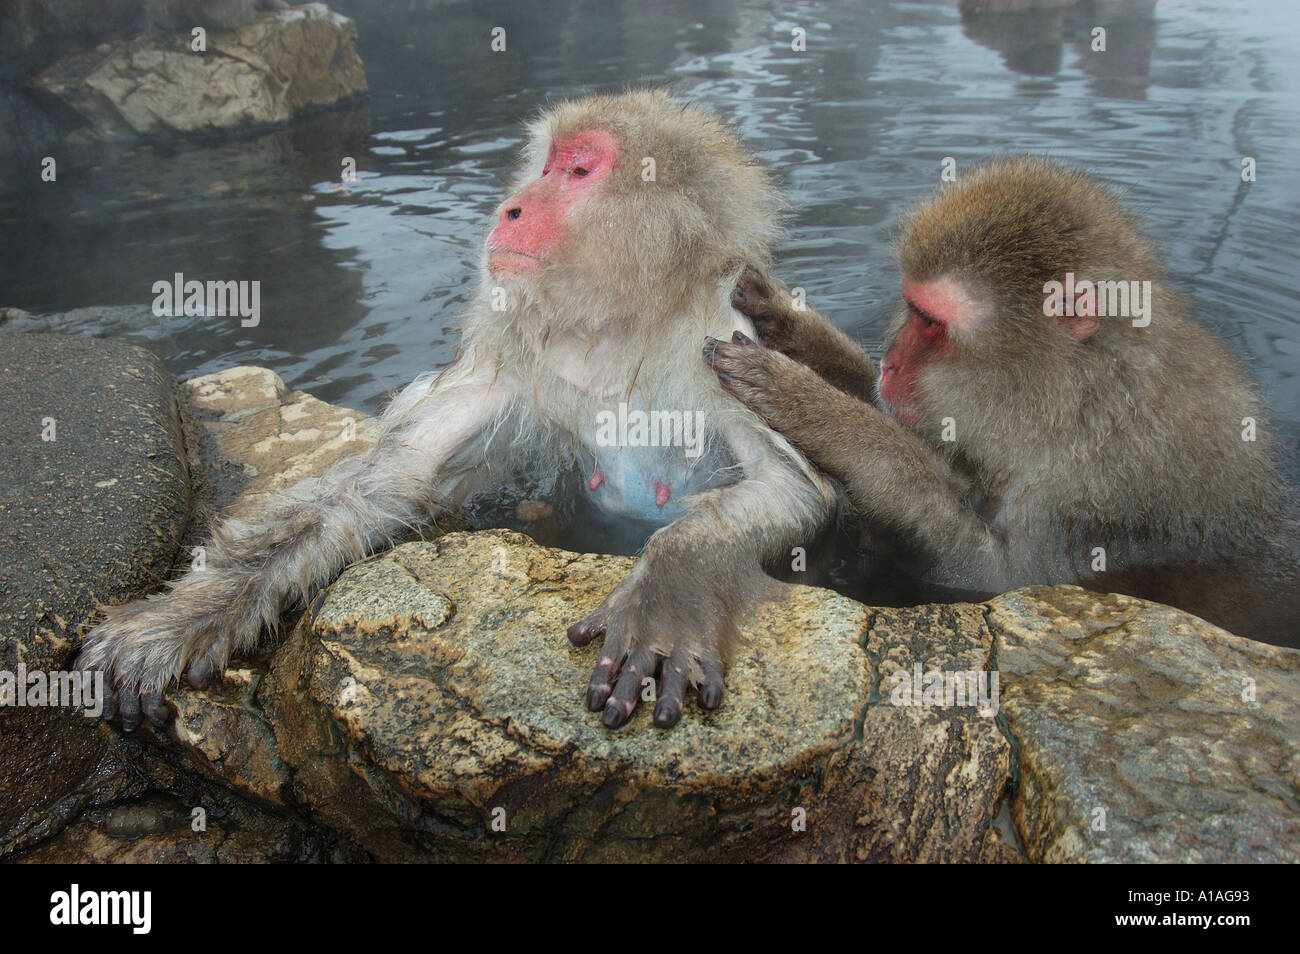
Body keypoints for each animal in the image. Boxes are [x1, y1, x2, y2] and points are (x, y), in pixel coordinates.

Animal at [77, 90, 837, 732]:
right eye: (546, 165)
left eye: (579, 170)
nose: (510, 209)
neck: (622, 325)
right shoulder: (511, 356)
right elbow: (390, 479)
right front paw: (178, 619)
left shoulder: (733, 341)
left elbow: (796, 487)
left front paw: (669, 589)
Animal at [707, 156, 1300, 646]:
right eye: (910, 307)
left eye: (929, 321)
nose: (891, 363)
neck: (1080, 397)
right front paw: (783, 319)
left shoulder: (1089, 488)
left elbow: (998, 576)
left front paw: (812, 407)